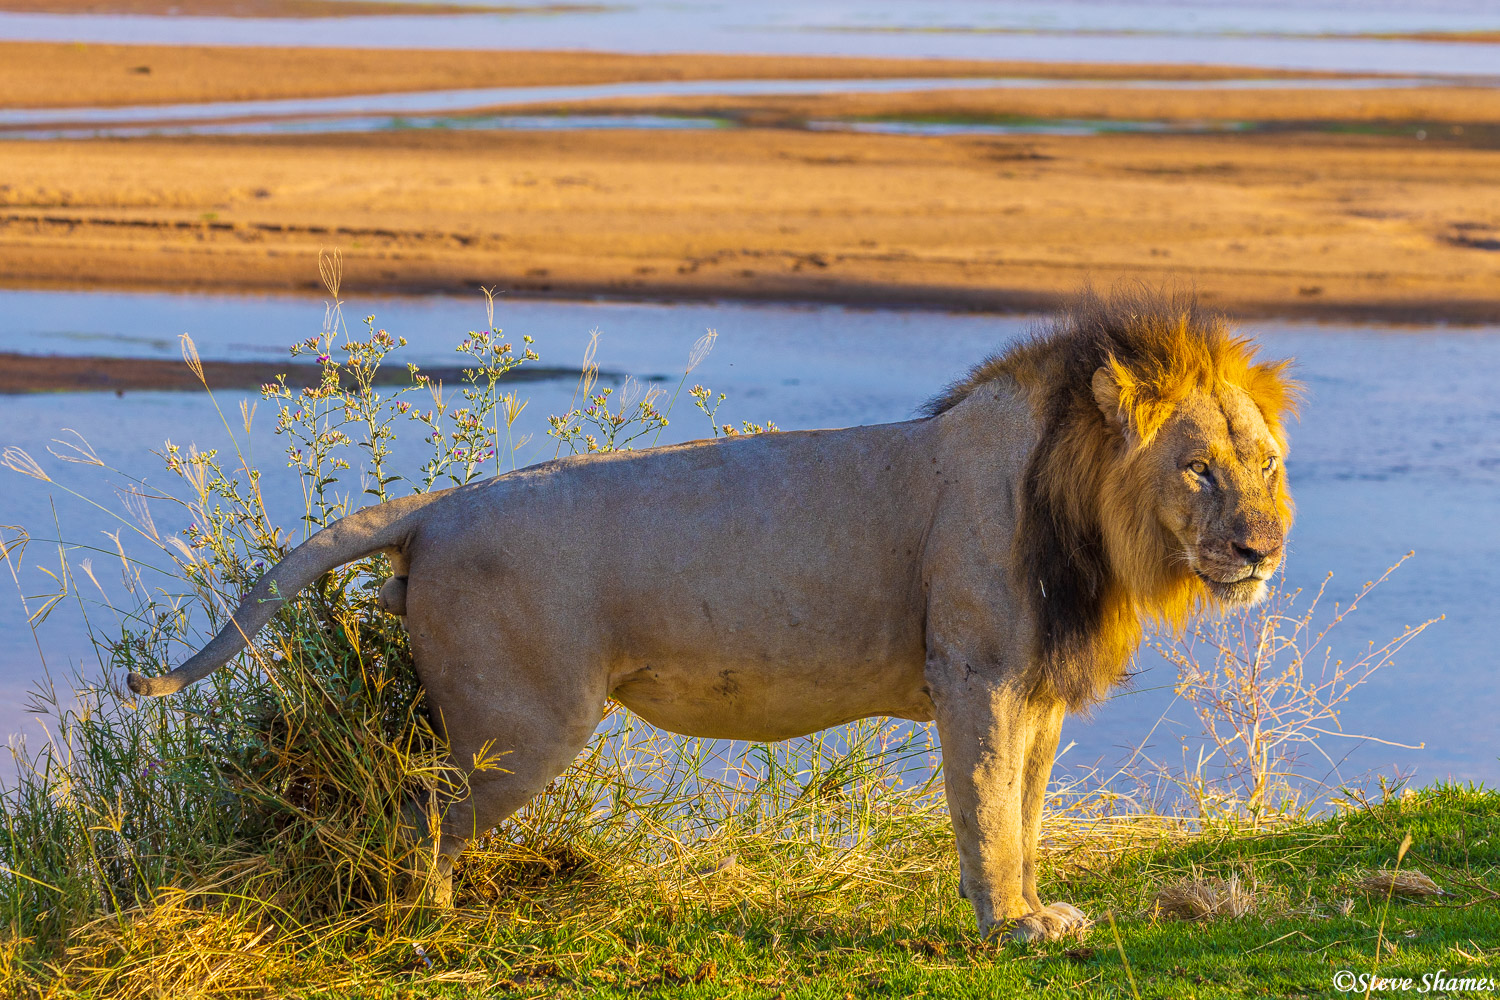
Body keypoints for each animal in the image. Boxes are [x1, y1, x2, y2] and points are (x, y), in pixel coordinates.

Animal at [128, 289, 1297, 942]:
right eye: (1197, 469)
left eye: (1268, 463)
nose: (1262, 547)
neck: (1088, 521)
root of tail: (436, 509)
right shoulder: (979, 676)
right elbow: (986, 813)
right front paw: (1008, 927)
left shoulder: (1039, 694)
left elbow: (1028, 812)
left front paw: (1039, 909)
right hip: (521, 725)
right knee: (418, 814)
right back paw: (429, 930)